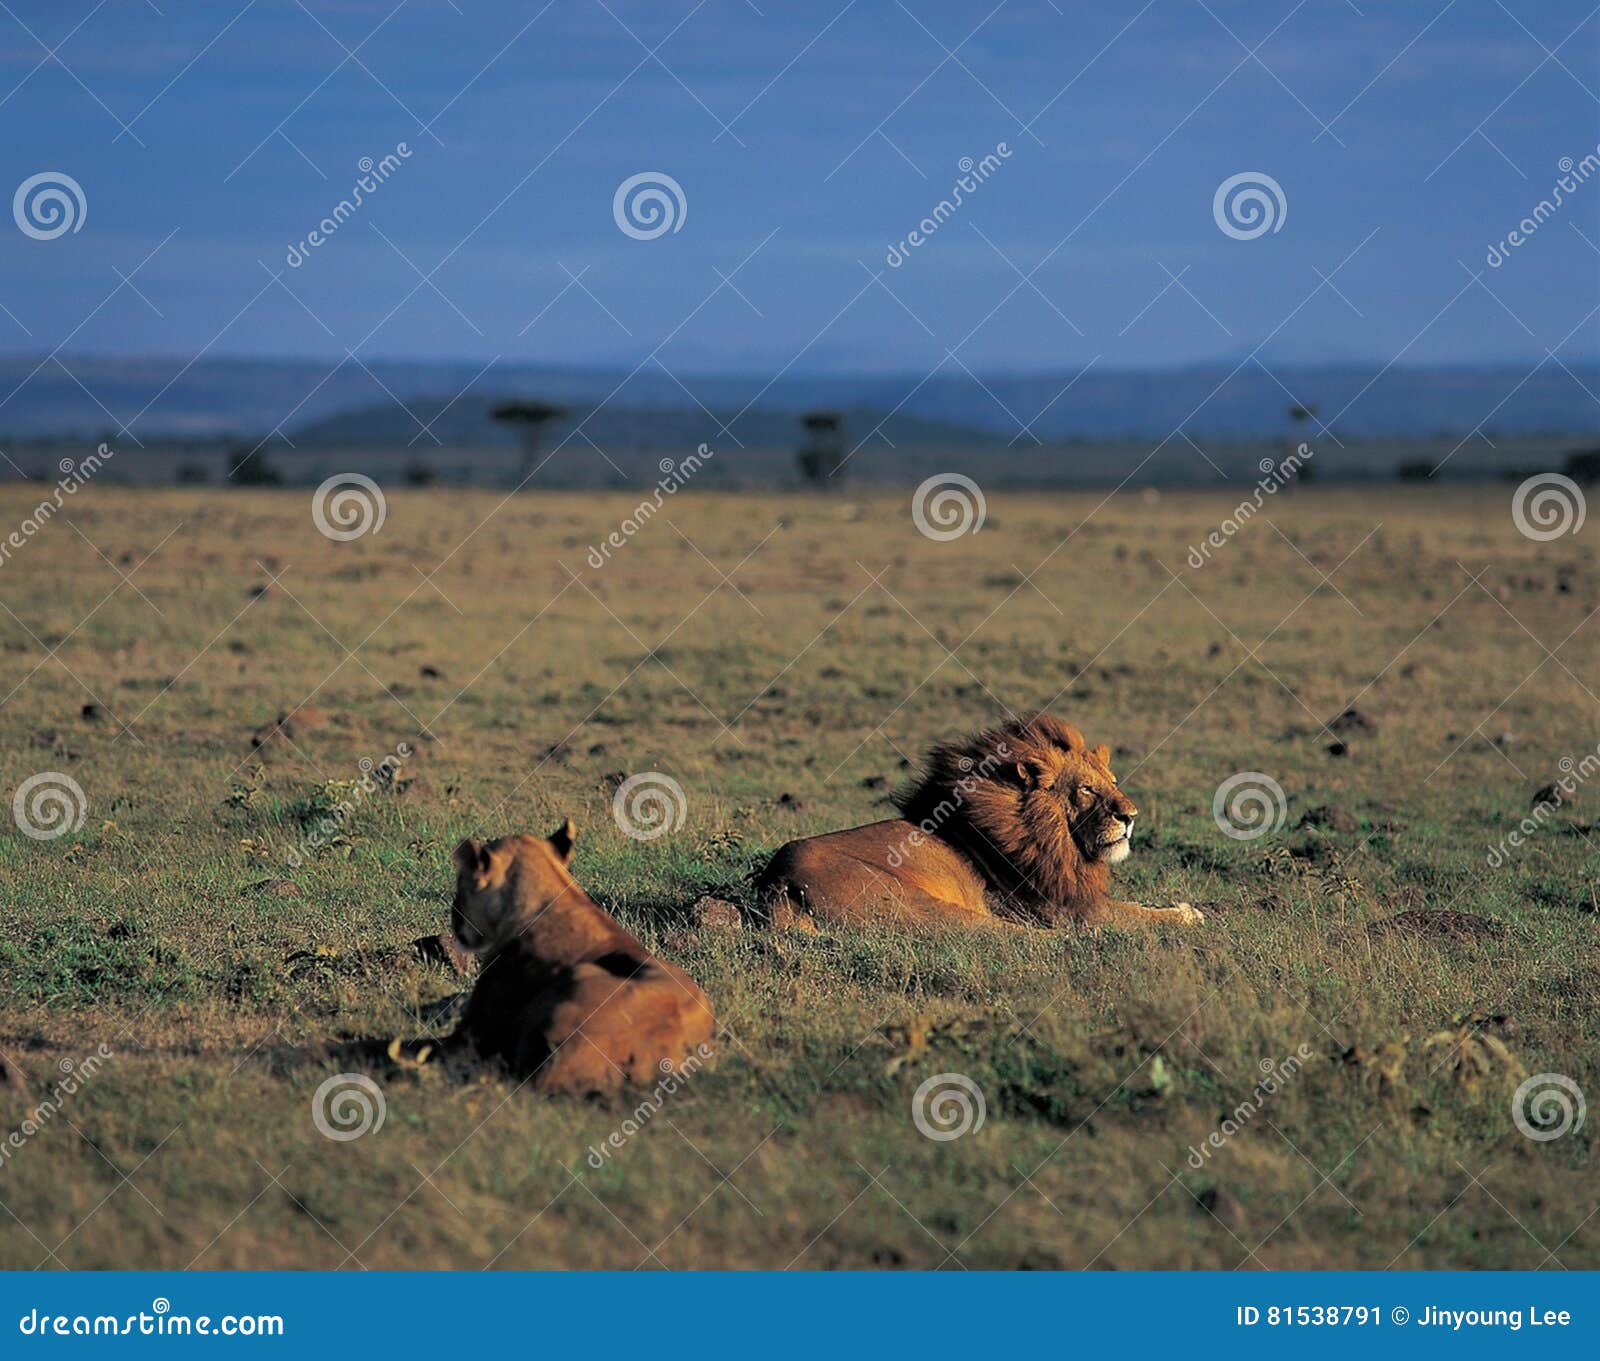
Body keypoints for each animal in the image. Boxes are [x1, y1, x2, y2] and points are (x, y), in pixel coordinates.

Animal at [754, 714, 1202, 931]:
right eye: (1087, 790)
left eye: (1113, 782)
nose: (1130, 816)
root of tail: (778, 880)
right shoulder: (1067, 909)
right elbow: (1137, 916)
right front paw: (1187, 916)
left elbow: (1139, 906)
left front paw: (1184, 908)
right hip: (916, 906)